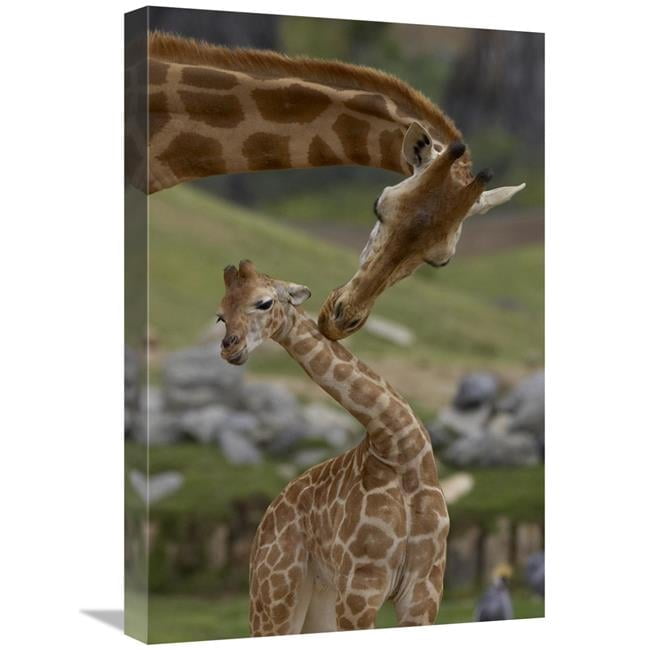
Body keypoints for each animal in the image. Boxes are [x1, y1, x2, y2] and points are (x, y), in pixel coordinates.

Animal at [217, 260, 449, 636]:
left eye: (264, 302)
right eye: (220, 316)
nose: (229, 348)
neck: (399, 449)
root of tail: (264, 521)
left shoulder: (424, 587)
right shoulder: (361, 585)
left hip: (320, 598)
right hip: (275, 593)